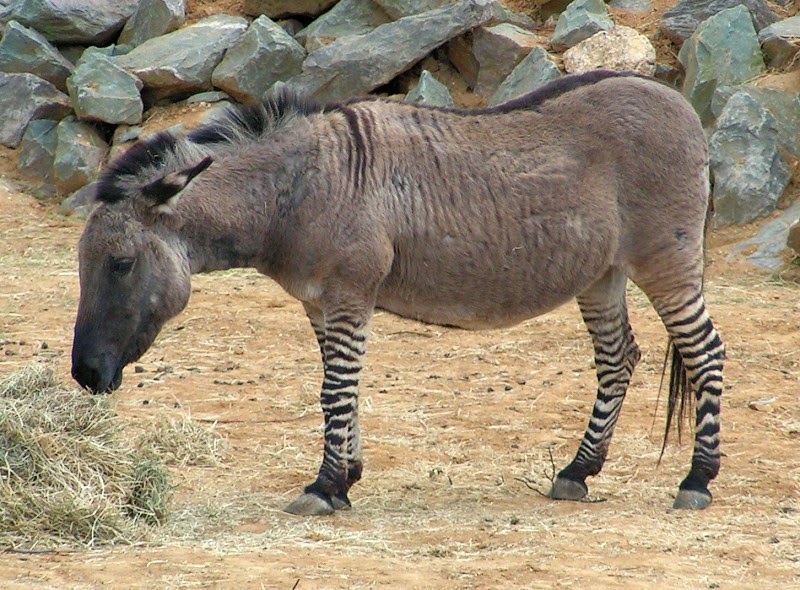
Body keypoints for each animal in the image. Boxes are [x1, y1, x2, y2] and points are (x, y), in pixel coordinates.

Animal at [71, 70, 724, 515]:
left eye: (121, 265)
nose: (84, 375)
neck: (296, 190)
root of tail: (674, 97)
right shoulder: (321, 301)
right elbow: (340, 389)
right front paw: (347, 477)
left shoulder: (348, 292)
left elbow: (334, 390)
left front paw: (325, 487)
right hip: (600, 273)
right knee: (618, 358)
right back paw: (577, 473)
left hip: (665, 260)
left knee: (704, 351)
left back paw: (697, 481)